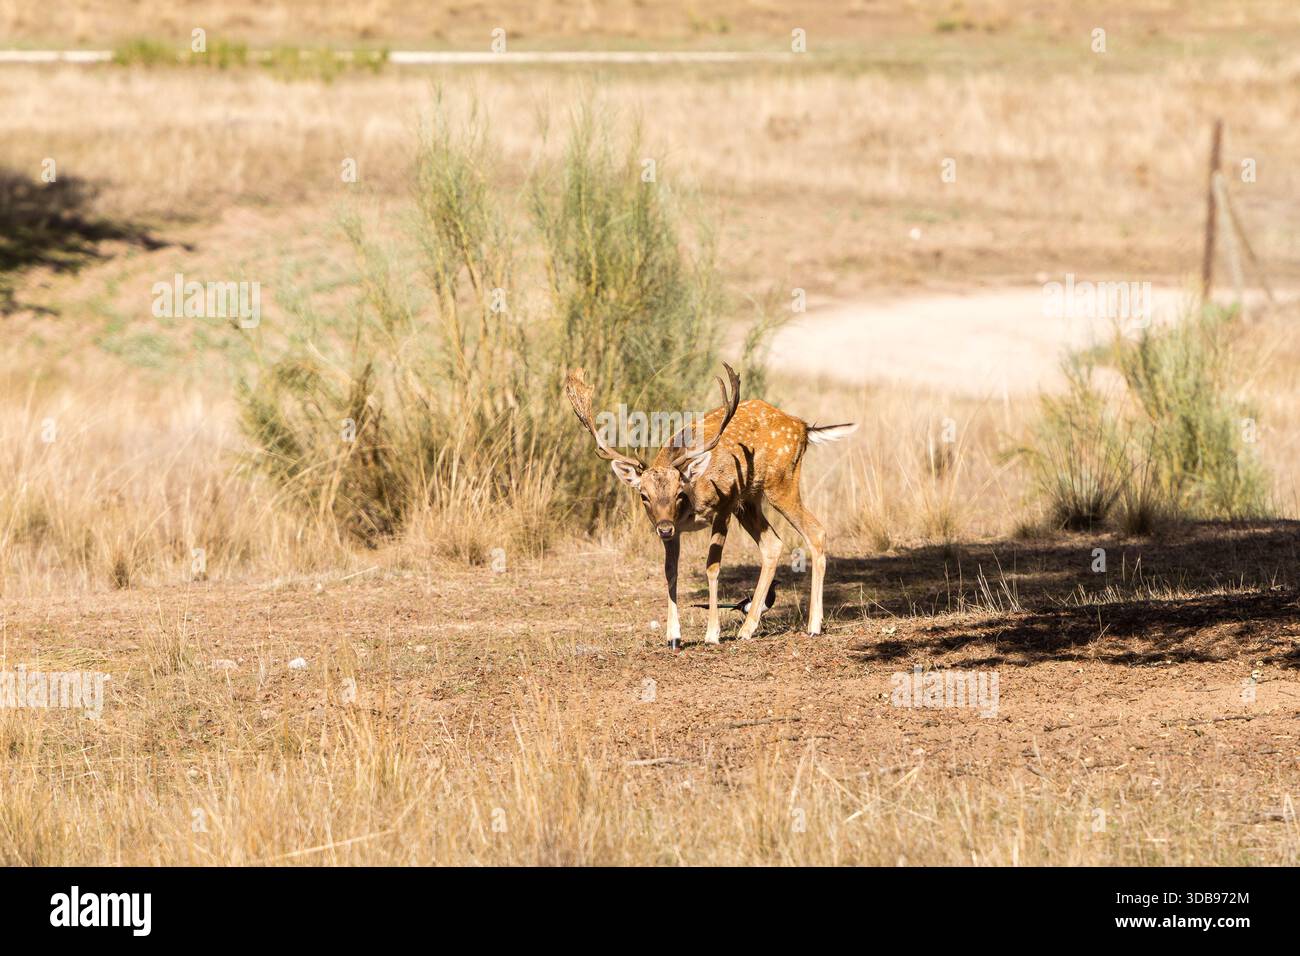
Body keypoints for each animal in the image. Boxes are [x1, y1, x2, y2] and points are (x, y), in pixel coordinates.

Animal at [564, 363, 856, 649]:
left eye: (678, 492)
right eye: (644, 495)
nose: (663, 528)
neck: (689, 504)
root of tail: (803, 426)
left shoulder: (723, 505)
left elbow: (712, 567)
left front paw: (712, 634)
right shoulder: (679, 529)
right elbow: (670, 571)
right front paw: (673, 636)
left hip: (781, 484)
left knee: (816, 531)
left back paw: (813, 625)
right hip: (749, 502)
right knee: (773, 544)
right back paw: (747, 629)